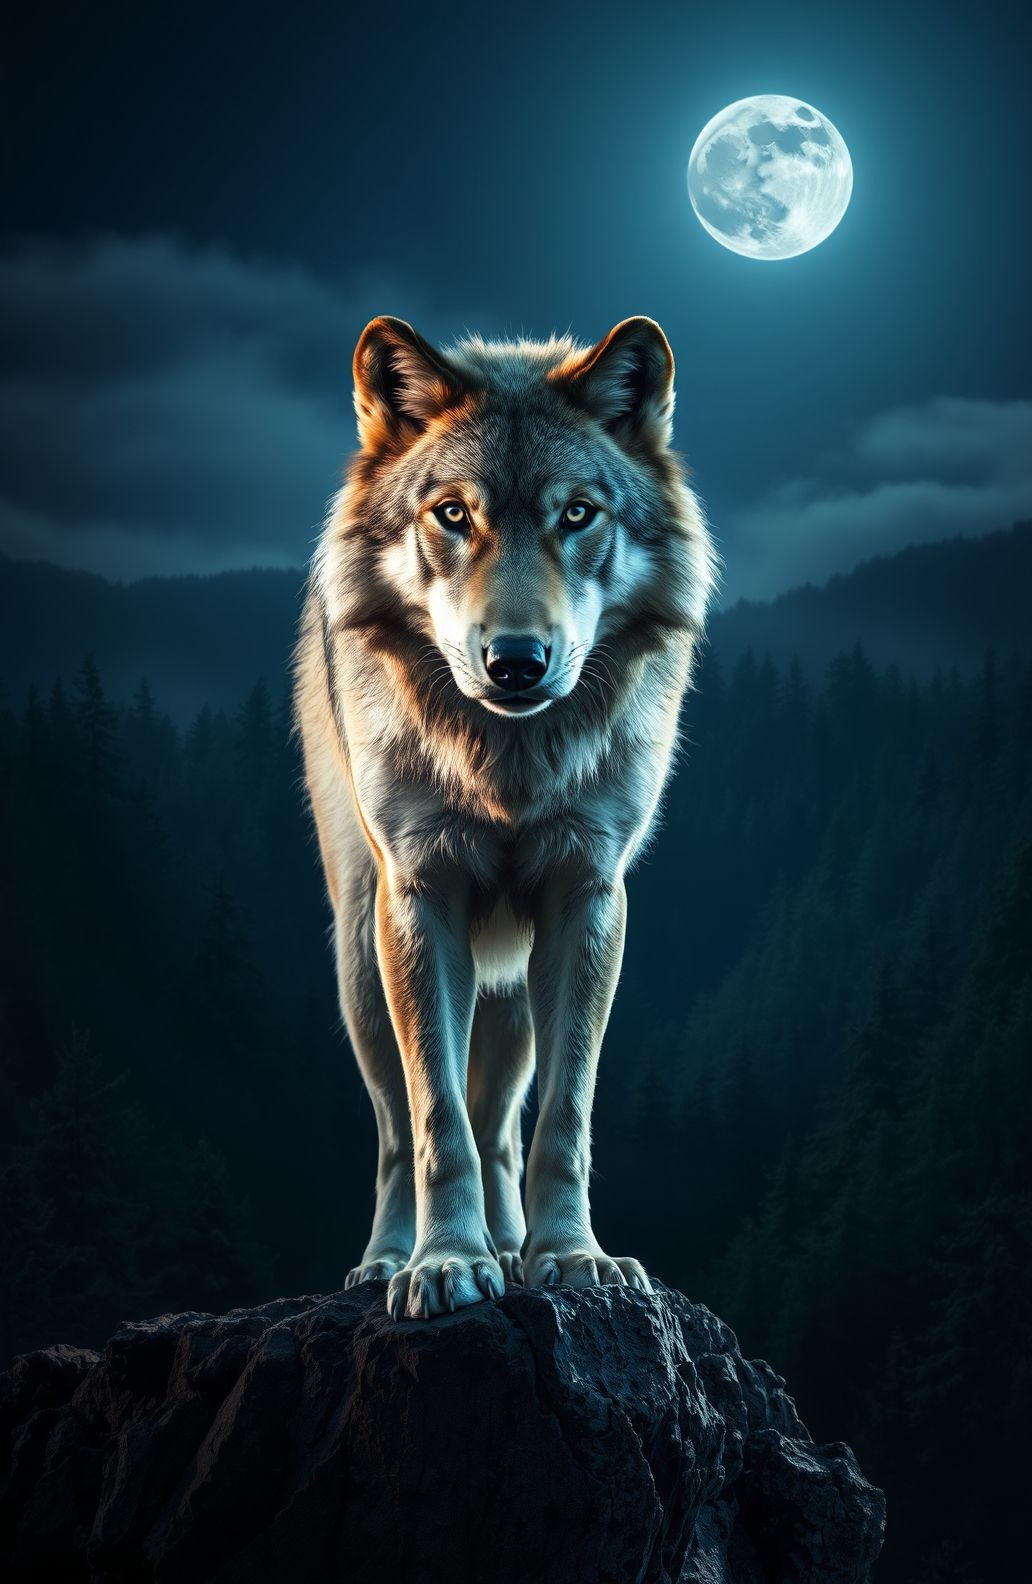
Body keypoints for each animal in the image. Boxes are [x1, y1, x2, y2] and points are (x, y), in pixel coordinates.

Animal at [294, 314, 716, 1319]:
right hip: (361, 962)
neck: (508, 764)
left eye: (578, 515)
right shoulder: (421, 900)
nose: (517, 661)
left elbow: (562, 1118)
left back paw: (515, 1244)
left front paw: (570, 1255)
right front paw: (445, 1263)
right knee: (398, 1132)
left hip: (516, 983)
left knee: (500, 1127)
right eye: (454, 514)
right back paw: (389, 1260)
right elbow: (435, 1118)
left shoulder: (586, 899)